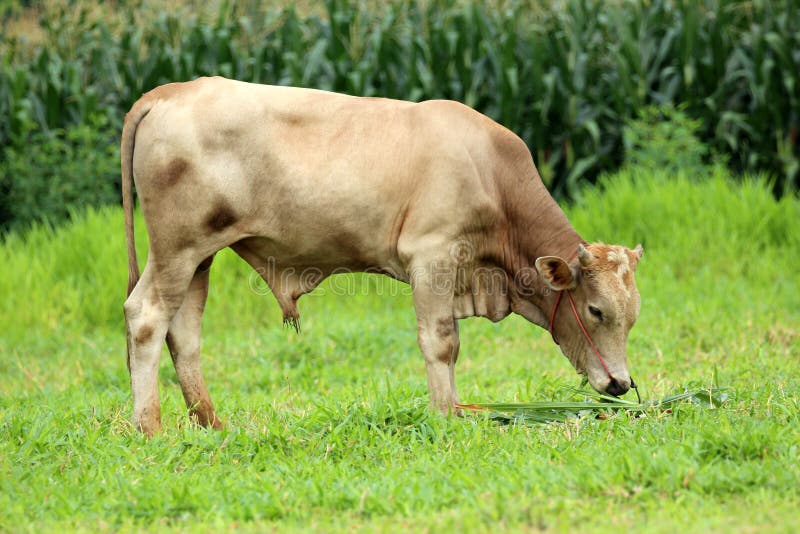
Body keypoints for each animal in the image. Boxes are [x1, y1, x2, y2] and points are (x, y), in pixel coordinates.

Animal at [121, 77, 643, 436]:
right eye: (596, 310)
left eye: (631, 317)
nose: (621, 384)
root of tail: (171, 90)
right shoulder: (431, 257)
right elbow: (441, 343)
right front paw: (445, 417)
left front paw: (457, 409)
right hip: (176, 249)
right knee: (146, 317)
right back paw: (152, 428)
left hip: (199, 257)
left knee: (184, 333)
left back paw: (211, 423)